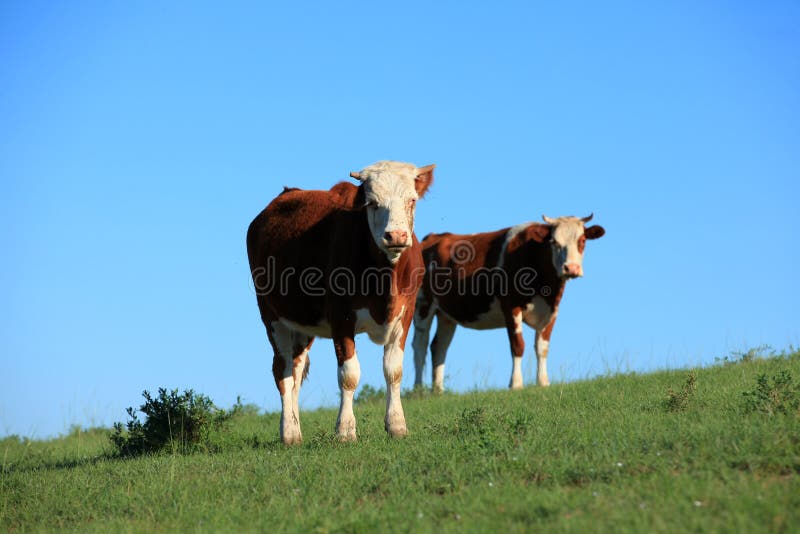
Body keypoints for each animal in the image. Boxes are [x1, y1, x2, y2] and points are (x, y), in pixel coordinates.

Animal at [247, 161, 434, 445]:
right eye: (372, 203)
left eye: (411, 200)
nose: (396, 235)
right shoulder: (340, 318)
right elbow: (349, 375)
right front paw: (345, 430)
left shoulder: (405, 315)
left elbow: (394, 370)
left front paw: (397, 425)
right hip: (272, 314)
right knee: (283, 370)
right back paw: (288, 432)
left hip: (303, 324)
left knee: (296, 371)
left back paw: (296, 428)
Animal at [412, 215, 605, 392]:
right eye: (554, 242)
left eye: (582, 240)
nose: (571, 268)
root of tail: (432, 237)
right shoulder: (511, 306)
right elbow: (518, 345)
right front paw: (516, 384)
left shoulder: (552, 309)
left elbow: (542, 347)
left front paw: (543, 382)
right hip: (423, 304)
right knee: (420, 344)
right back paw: (418, 390)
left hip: (447, 314)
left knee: (439, 346)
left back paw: (438, 391)